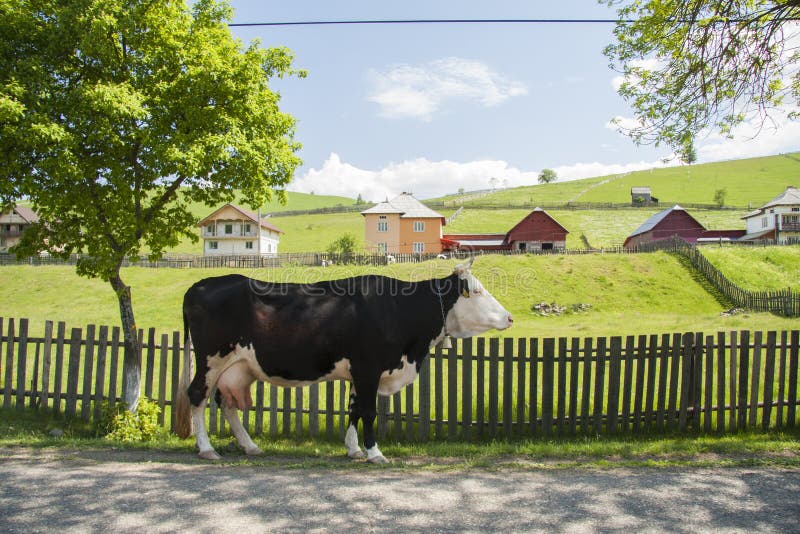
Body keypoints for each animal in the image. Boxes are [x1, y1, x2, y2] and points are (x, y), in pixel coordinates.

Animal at [175, 258, 513, 463]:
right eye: (478, 291)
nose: (509, 317)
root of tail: (203, 283)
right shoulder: (369, 367)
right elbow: (369, 411)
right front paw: (374, 452)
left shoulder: (358, 373)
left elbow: (353, 409)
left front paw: (353, 449)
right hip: (211, 359)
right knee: (198, 396)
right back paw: (207, 448)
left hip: (238, 367)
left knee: (225, 401)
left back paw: (249, 445)